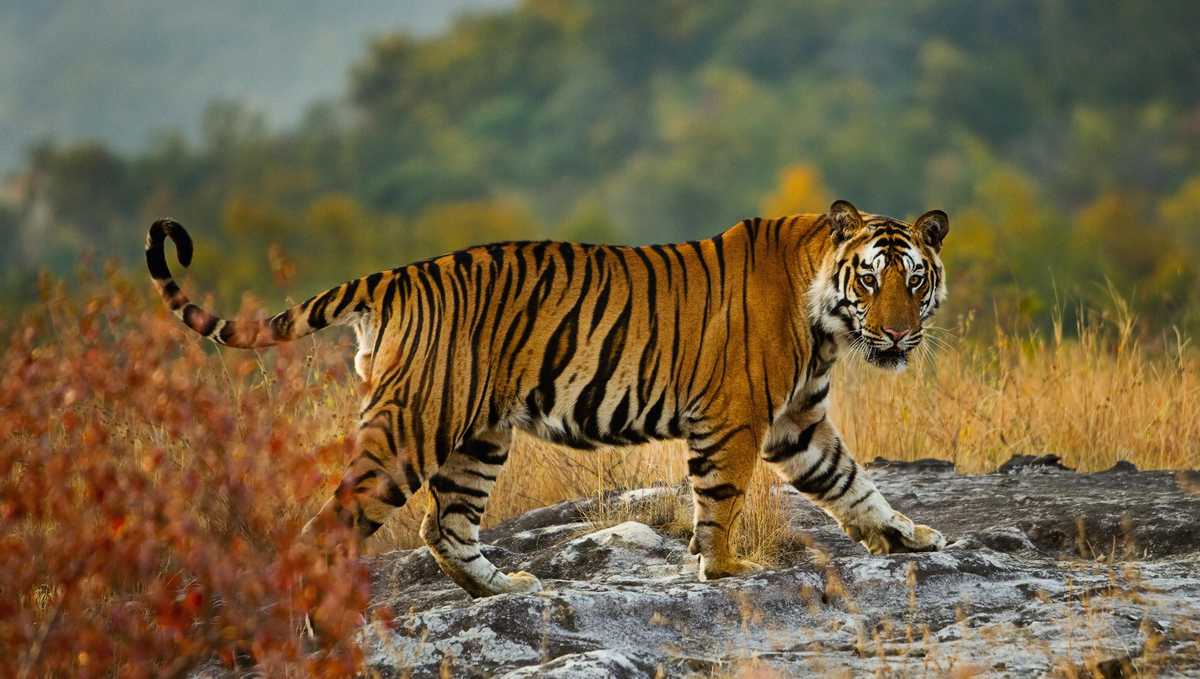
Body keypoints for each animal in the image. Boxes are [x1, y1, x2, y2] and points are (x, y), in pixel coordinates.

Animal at [145, 199, 949, 597]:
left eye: (915, 281)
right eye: (871, 279)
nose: (898, 335)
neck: (827, 321)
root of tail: (395, 275)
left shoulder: (797, 422)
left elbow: (852, 482)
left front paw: (907, 536)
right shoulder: (735, 418)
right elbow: (721, 501)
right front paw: (724, 571)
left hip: (477, 436)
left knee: (445, 525)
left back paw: (504, 588)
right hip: (412, 427)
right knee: (332, 525)